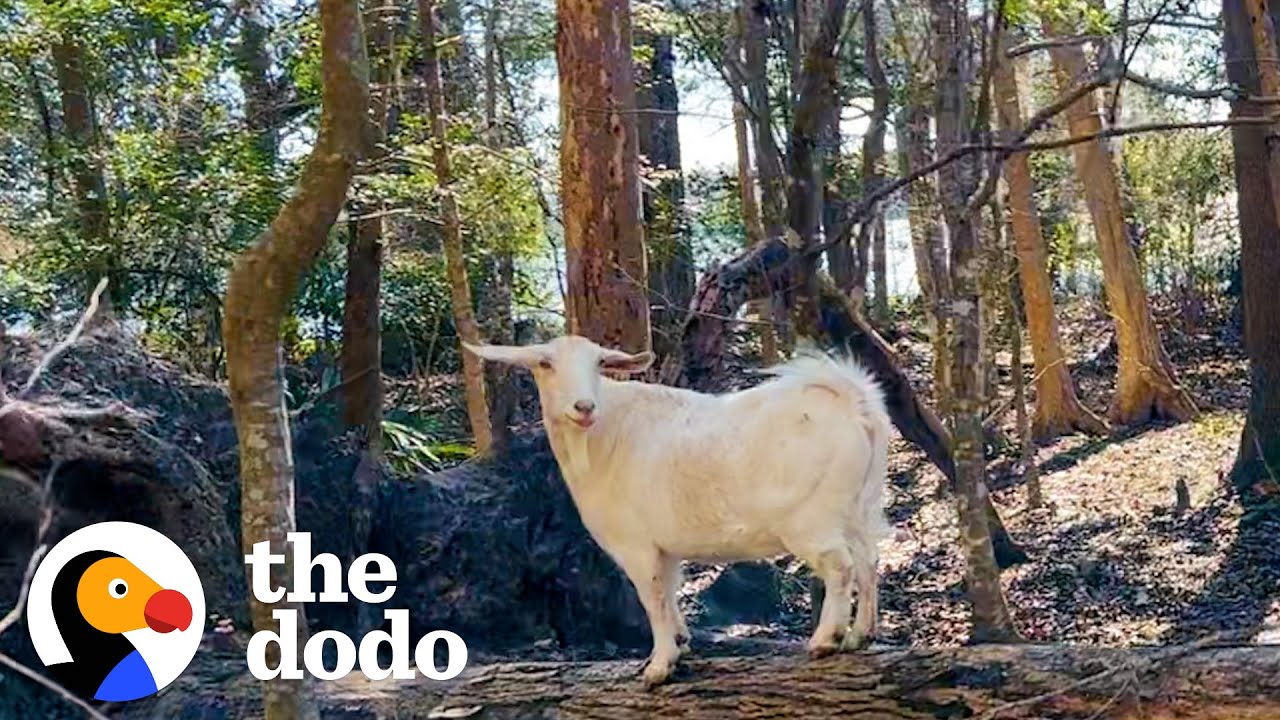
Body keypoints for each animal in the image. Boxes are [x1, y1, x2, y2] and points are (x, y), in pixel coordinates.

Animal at [465, 335, 892, 687]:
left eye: (599, 363)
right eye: (545, 364)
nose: (584, 406)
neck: (601, 437)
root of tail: (851, 401)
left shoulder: (636, 546)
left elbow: (651, 597)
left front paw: (659, 666)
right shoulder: (665, 547)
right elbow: (669, 592)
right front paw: (682, 643)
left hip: (811, 519)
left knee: (840, 566)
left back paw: (825, 640)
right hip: (860, 505)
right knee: (868, 559)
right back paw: (860, 635)